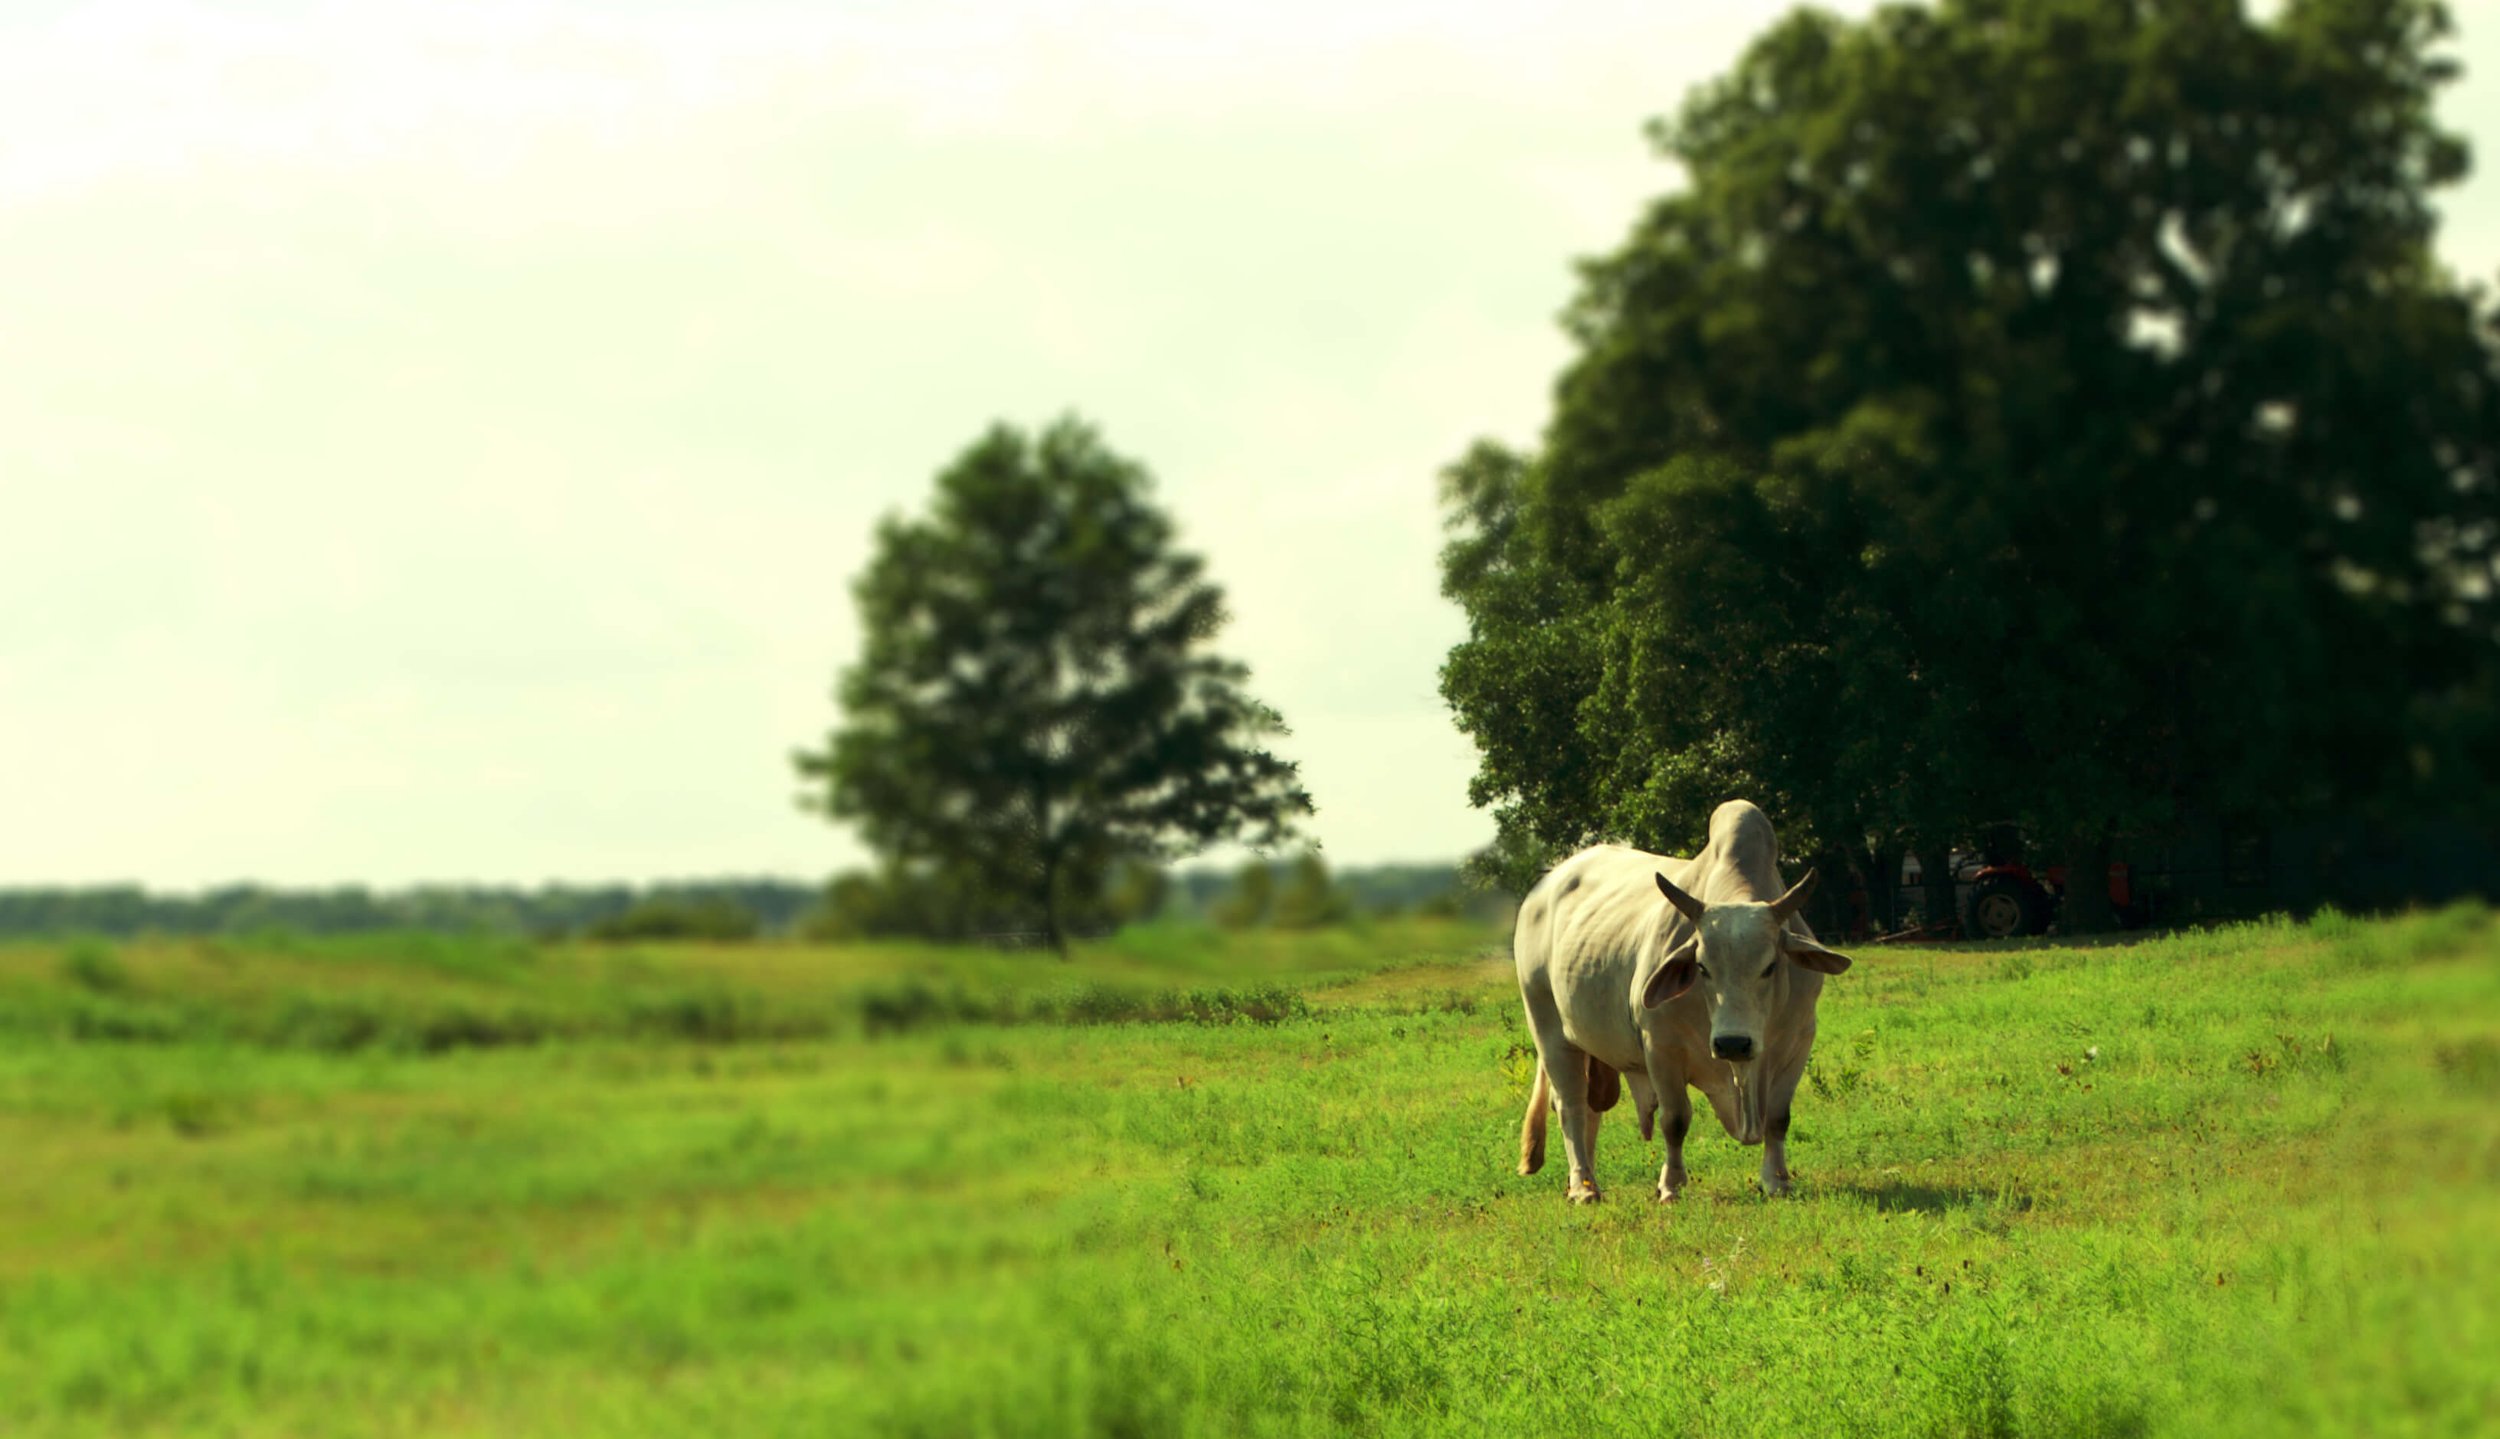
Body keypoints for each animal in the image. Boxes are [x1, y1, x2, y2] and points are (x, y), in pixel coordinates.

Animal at [1512, 800, 1853, 1204]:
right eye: (1702, 967)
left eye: (1771, 966)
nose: (1732, 1043)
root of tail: (1542, 889)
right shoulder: (1660, 1048)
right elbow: (1675, 1120)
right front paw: (1671, 1185)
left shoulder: (1798, 1042)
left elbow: (1778, 1117)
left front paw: (1777, 1180)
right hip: (1547, 1026)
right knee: (1570, 1105)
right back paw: (1584, 1187)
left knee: (1590, 1112)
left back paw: (1583, 1180)